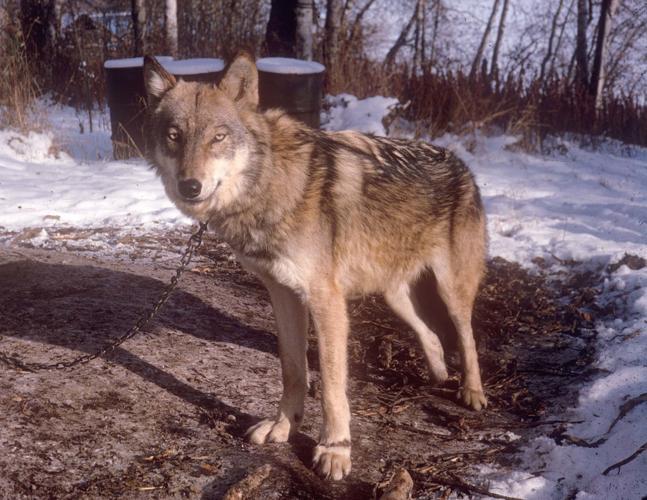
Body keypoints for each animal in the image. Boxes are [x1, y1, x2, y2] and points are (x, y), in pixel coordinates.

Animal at [142, 53, 487, 481]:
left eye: (218, 138)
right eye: (174, 135)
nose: (190, 186)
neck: (271, 182)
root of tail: (460, 162)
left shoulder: (327, 302)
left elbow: (331, 386)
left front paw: (334, 450)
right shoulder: (283, 294)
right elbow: (293, 369)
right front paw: (283, 426)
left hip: (451, 288)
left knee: (467, 335)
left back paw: (472, 392)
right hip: (393, 296)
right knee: (432, 335)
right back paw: (438, 372)